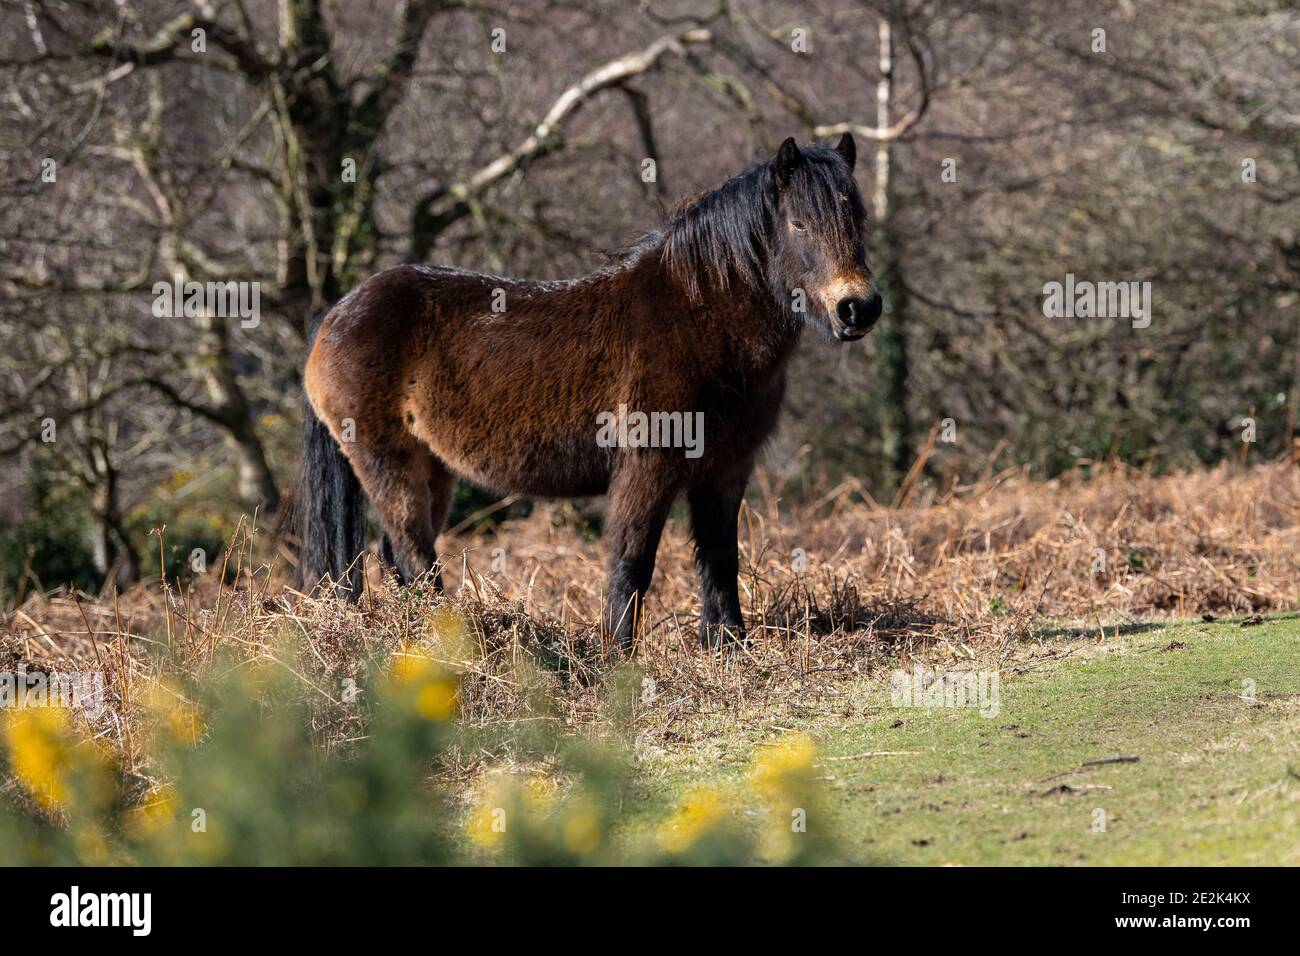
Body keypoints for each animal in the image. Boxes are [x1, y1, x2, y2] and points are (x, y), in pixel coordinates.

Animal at [295, 133, 881, 652]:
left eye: (859, 220)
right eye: (800, 223)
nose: (859, 308)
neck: (698, 318)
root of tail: (337, 314)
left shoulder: (726, 468)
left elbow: (720, 556)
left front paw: (730, 648)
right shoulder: (647, 468)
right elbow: (632, 560)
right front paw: (618, 656)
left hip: (432, 468)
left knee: (399, 556)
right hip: (388, 464)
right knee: (415, 558)